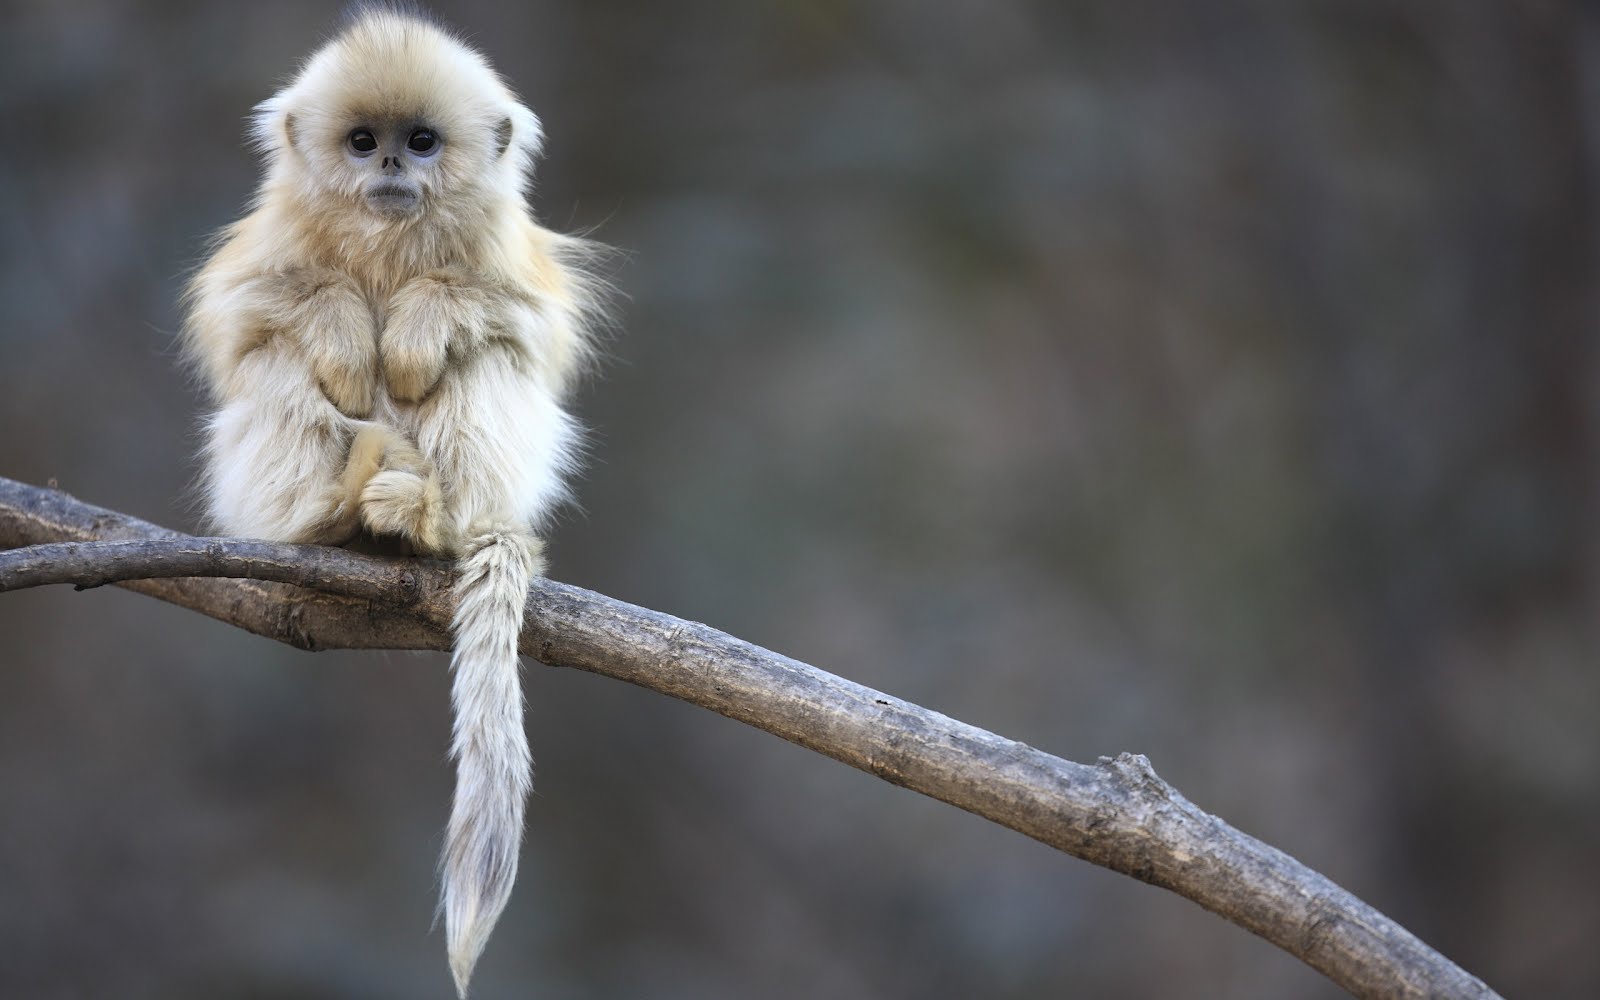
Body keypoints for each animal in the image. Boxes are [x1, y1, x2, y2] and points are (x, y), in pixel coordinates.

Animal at [181, 8, 603, 995]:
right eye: (362, 142)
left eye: (422, 142)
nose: (391, 172)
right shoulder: (266, 249)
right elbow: (245, 316)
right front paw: (343, 332)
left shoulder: (509, 260)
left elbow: (522, 324)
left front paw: (414, 329)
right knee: (276, 359)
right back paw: (331, 513)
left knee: (489, 358)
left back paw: (426, 519)